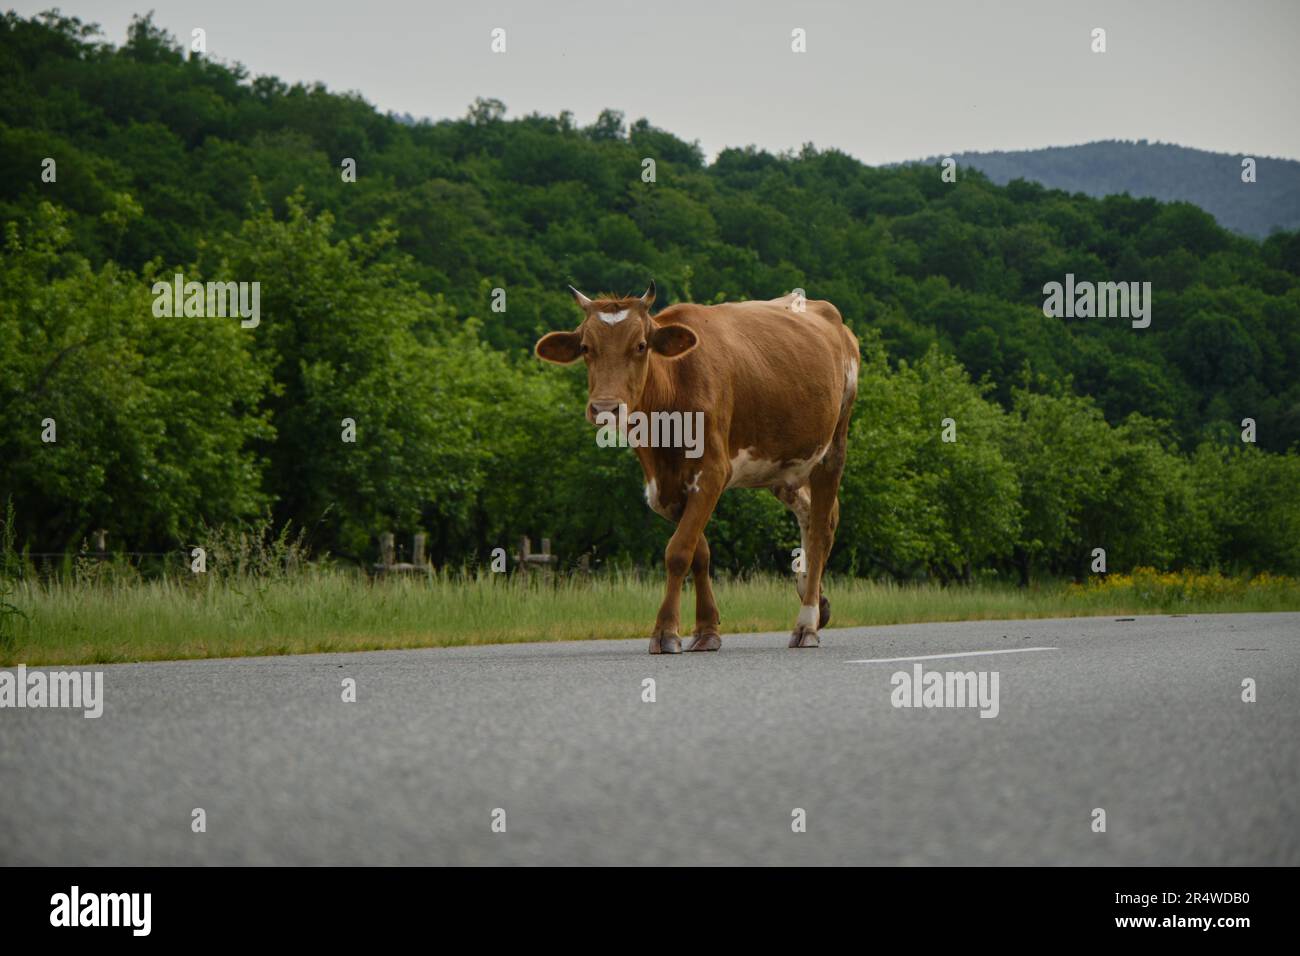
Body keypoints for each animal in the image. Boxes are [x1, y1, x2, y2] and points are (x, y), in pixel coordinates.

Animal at [535, 281, 860, 654]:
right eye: (586, 347)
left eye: (641, 345)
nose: (605, 407)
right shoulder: (663, 488)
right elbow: (698, 551)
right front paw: (706, 630)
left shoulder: (713, 472)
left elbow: (678, 551)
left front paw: (665, 631)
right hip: (784, 464)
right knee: (816, 514)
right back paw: (815, 597)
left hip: (832, 448)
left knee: (820, 529)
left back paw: (806, 623)